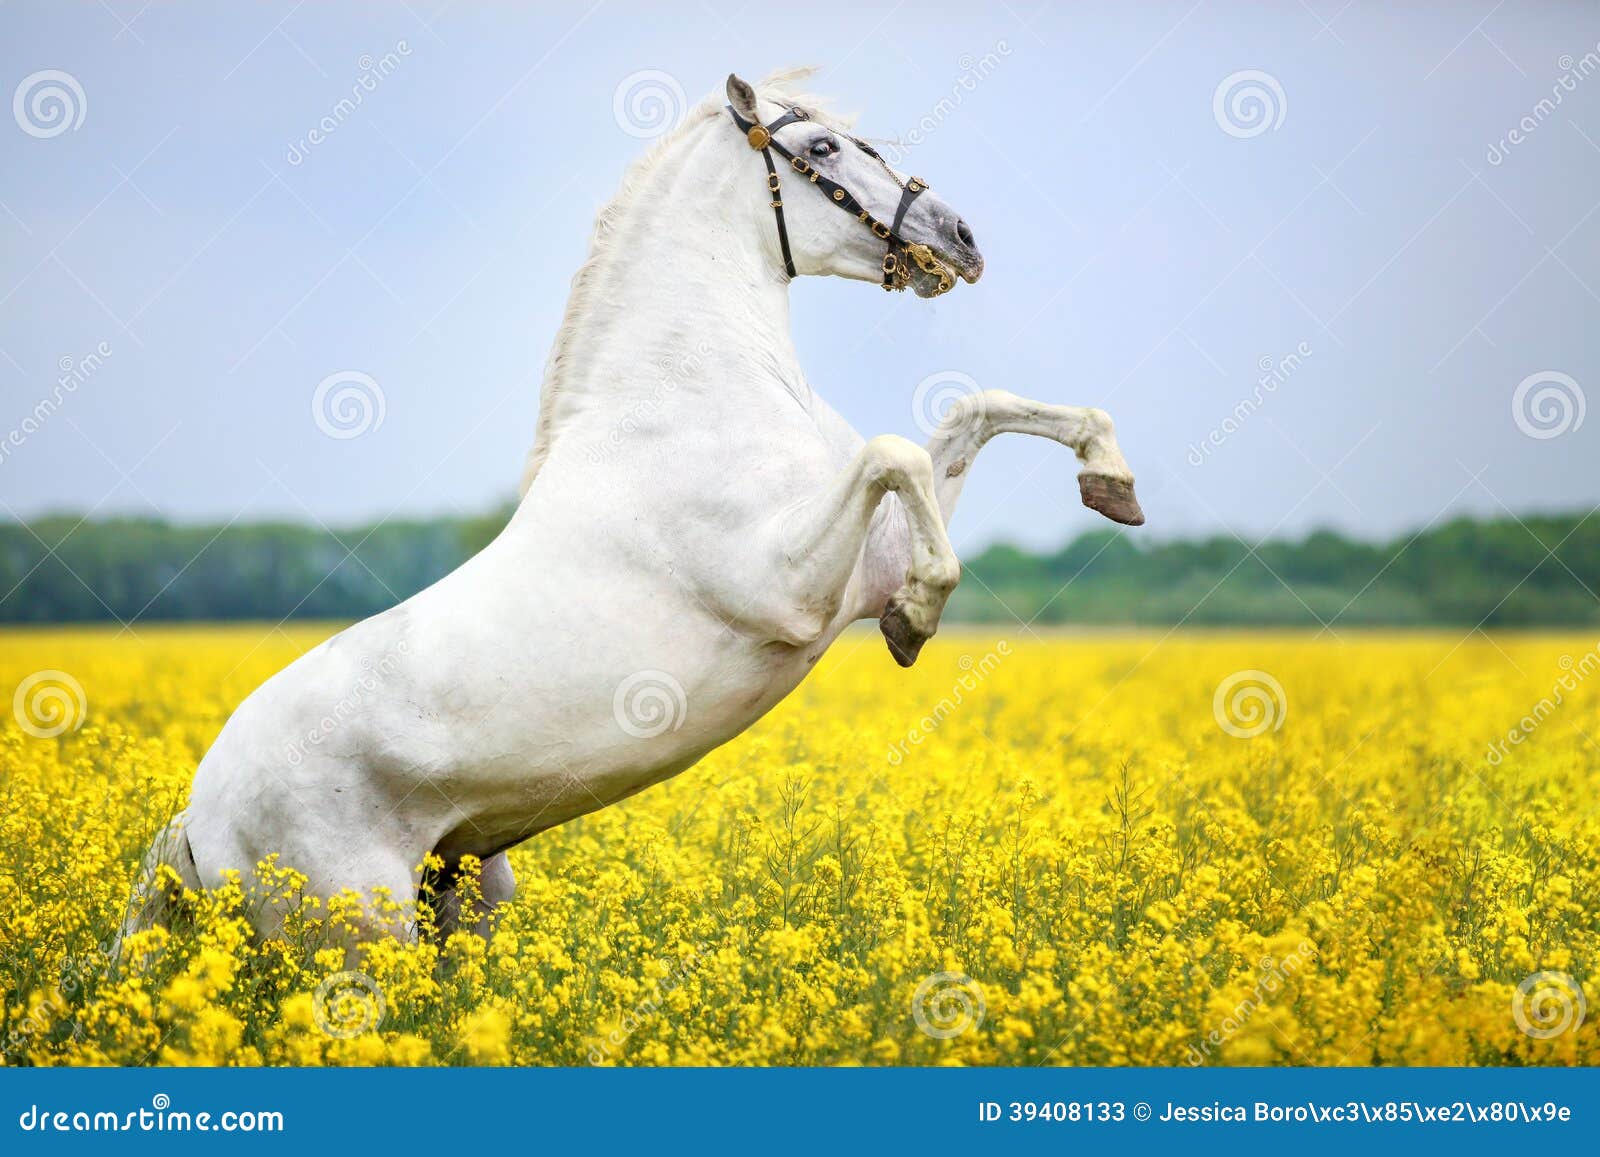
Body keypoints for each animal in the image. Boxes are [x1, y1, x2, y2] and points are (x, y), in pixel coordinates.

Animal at [128, 70, 1143, 944]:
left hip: (463, 899)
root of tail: (198, 818)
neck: (686, 389)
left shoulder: (866, 562)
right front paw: (921, 617)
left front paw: (1112, 484)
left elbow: (971, 416)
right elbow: (895, 456)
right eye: (821, 146)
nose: (959, 236)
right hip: (358, 941)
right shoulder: (796, 590)